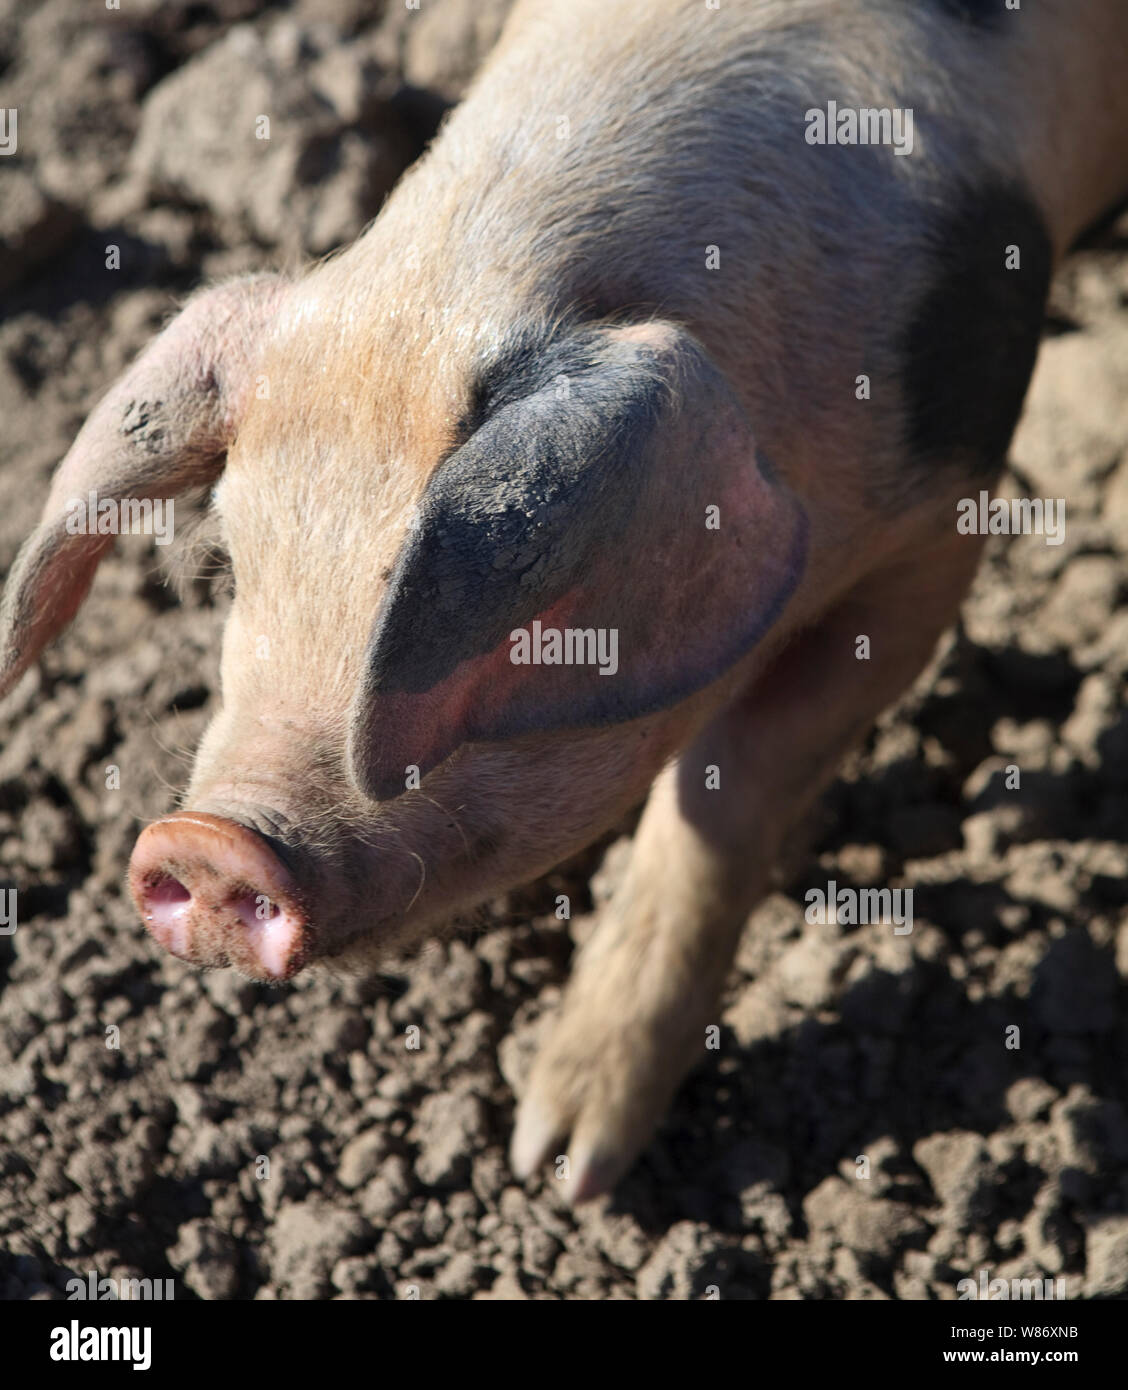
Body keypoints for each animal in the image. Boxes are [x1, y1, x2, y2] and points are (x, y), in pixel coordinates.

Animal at [3, 0, 1128, 1203]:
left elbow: (730, 796)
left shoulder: (944, 506)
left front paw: (563, 1162)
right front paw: (546, 1161)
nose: (208, 840)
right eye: (230, 570)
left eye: (497, 627)